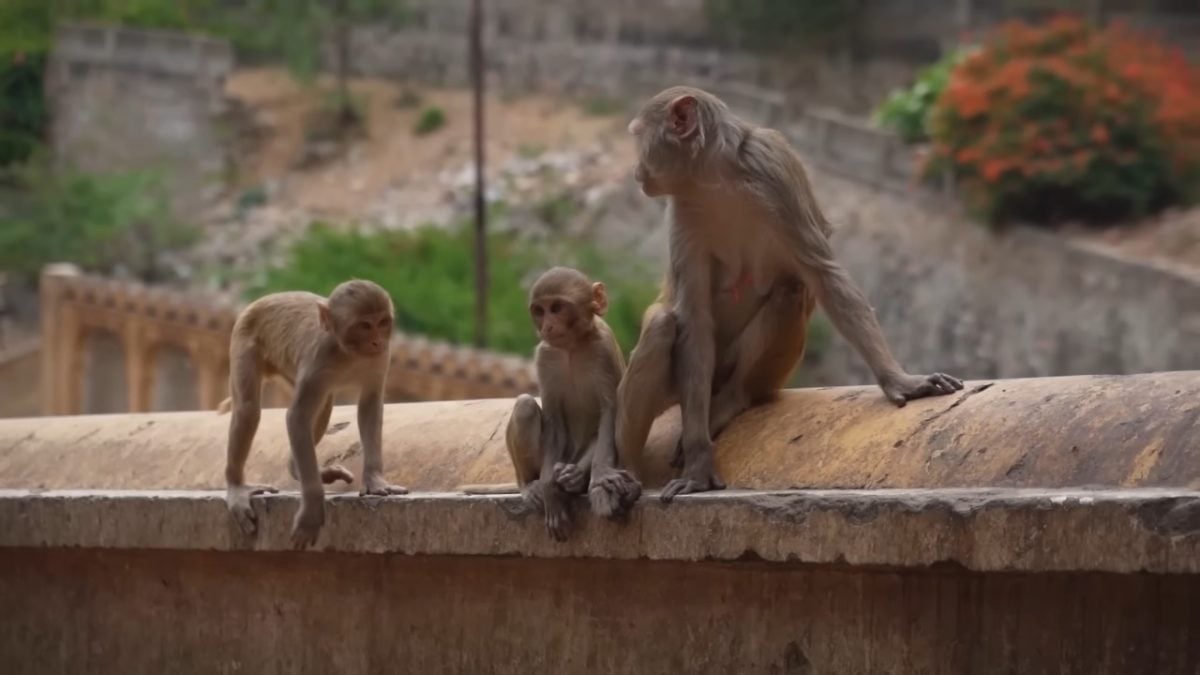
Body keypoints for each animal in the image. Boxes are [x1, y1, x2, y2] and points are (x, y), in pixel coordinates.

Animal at [221, 279, 408, 550]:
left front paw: (375, 480)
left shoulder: (381, 358)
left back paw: (298, 470)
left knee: (323, 407)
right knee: (248, 410)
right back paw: (237, 487)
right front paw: (312, 509)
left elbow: (370, 406)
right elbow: (297, 417)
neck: (348, 352)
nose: (376, 341)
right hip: (244, 339)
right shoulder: (318, 361)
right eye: (365, 325)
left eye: (383, 322)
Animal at [458, 267, 641, 540]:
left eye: (557, 307)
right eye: (539, 310)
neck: (573, 347)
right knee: (525, 406)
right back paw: (530, 485)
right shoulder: (545, 356)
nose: (547, 325)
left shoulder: (604, 348)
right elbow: (553, 416)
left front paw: (598, 477)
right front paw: (550, 492)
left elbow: (610, 413)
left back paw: (575, 478)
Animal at [590, 86, 963, 506]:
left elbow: (823, 273)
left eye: (639, 138)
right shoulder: (682, 208)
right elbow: (694, 321)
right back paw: (625, 472)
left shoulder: (772, 168)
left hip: (763, 374)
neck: (715, 181)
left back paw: (731, 400)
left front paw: (898, 380)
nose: (637, 171)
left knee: (789, 291)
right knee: (662, 325)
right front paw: (700, 462)